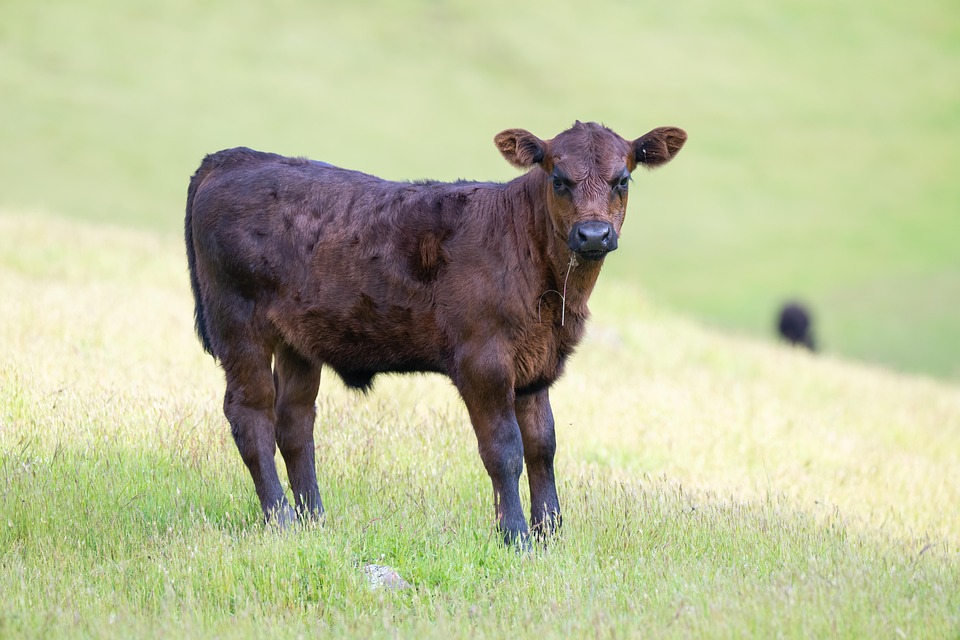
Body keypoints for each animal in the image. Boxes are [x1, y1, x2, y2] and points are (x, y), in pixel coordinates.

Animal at [184, 121, 686, 545]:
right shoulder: (483, 361)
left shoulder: (536, 365)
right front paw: (516, 537)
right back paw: (283, 520)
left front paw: (550, 534)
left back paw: (315, 520)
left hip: (299, 340)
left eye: (623, 179)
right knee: (251, 415)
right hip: (239, 325)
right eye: (558, 178)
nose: (593, 234)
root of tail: (233, 158)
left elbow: (543, 447)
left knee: (295, 421)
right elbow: (504, 449)